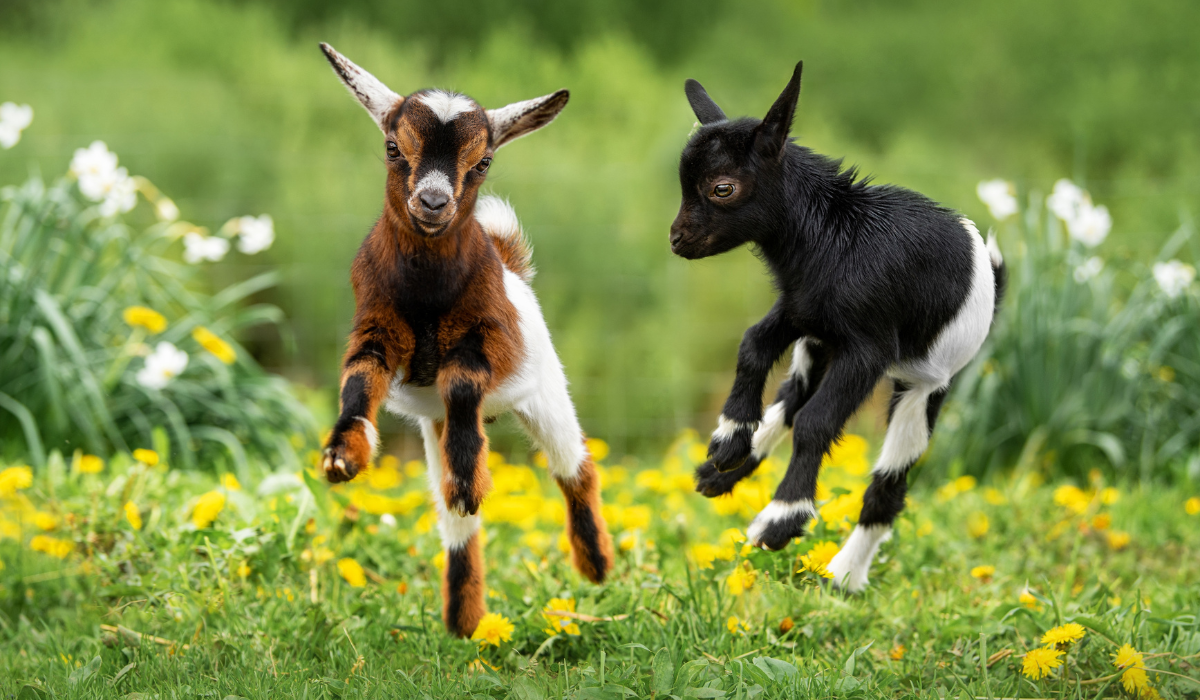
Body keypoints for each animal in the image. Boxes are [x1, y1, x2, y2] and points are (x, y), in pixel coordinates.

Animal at [317, 43, 613, 636]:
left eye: (483, 162)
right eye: (393, 148)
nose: (433, 203)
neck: (430, 291)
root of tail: (511, 264)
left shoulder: (491, 338)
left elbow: (461, 377)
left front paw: (471, 482)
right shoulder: (377, 327)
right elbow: (358, 380)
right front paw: (343, 456)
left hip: (546, 393)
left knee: (576, 468)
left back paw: (594, 565)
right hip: (431, 427)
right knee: (455, 525)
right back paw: (465, 620)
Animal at [672, 62, 1006, 592]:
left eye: (722, 188)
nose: (677, 239)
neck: (835, 236)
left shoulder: (868, 349)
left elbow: (817, 423)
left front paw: (780, 522)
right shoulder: (800, 311)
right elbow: (752, 346)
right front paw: (727, 438)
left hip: (922, 386)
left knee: (886, 485)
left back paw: (844, 576)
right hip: (817, 347)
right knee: (789, 403)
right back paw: (721, 473)